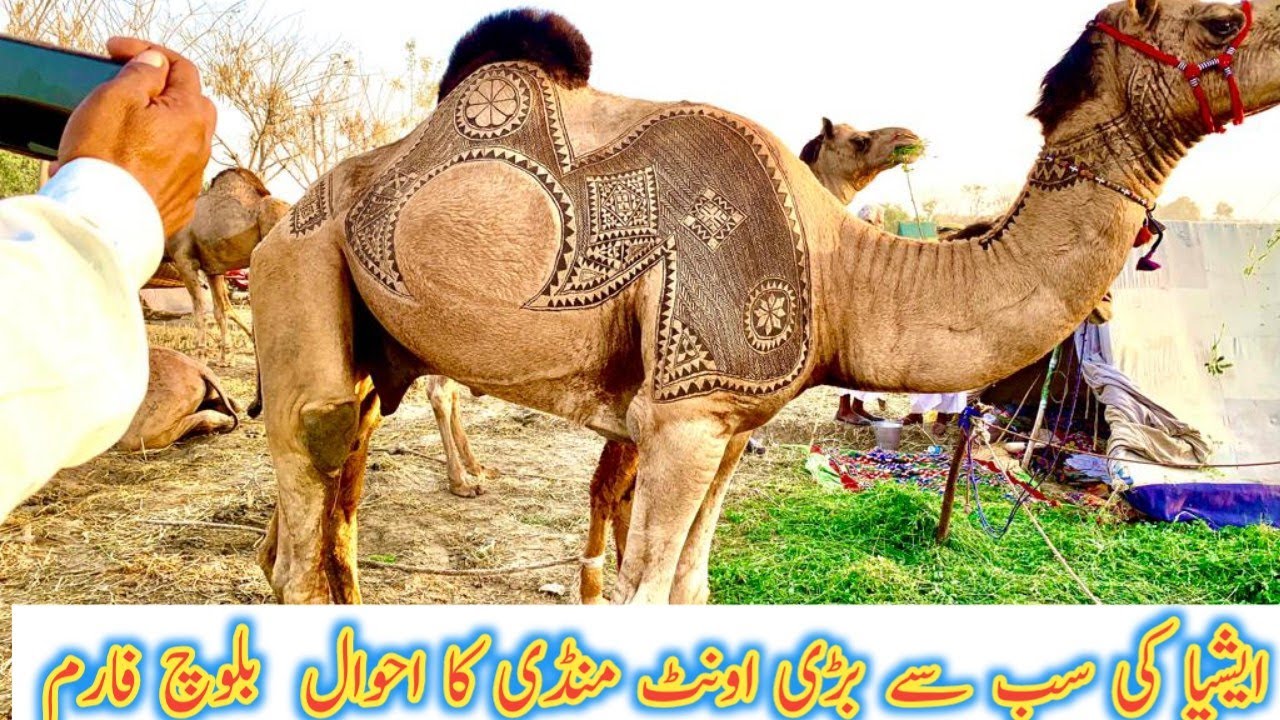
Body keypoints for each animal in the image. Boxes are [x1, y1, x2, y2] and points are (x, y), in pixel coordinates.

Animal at [167, 168, 290, 364]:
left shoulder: (184, 261)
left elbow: (199, 309)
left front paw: (201, 356)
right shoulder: (212, 269)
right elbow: (220, 310)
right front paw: (225, 358)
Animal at [251, 2, 1280, 605]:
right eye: (1221, 22)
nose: (908, 138)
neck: (846, 272)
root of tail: (287, 211)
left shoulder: (734, 425)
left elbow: (692, 592)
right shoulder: (685, 417)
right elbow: (642, 596)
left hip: (377, 348)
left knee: (339, 497)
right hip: (297, 270)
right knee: (309, 475)